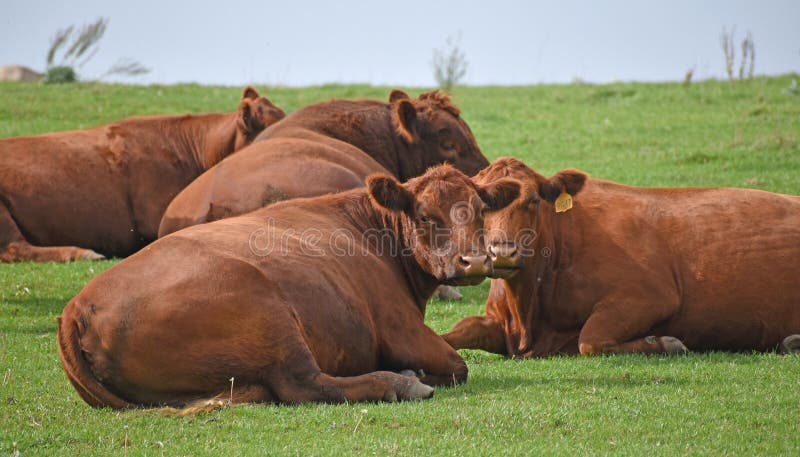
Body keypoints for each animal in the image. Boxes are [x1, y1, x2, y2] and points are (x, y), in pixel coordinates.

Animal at [57, 165, 520, 410]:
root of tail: (77, 306)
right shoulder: (400, 328)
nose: (475, 261)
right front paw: (416, 373)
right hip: (267, 314)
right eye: (425, 214)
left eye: (480, 209)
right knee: (305, 384)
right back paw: (400, 382)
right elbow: (458, 365)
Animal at [443, 157, 800, 357]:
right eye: (481, 204)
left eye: (532, 200)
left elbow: (590, 339)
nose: (502, 252)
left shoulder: (650, 295)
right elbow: (454, 332)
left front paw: (665, 343)